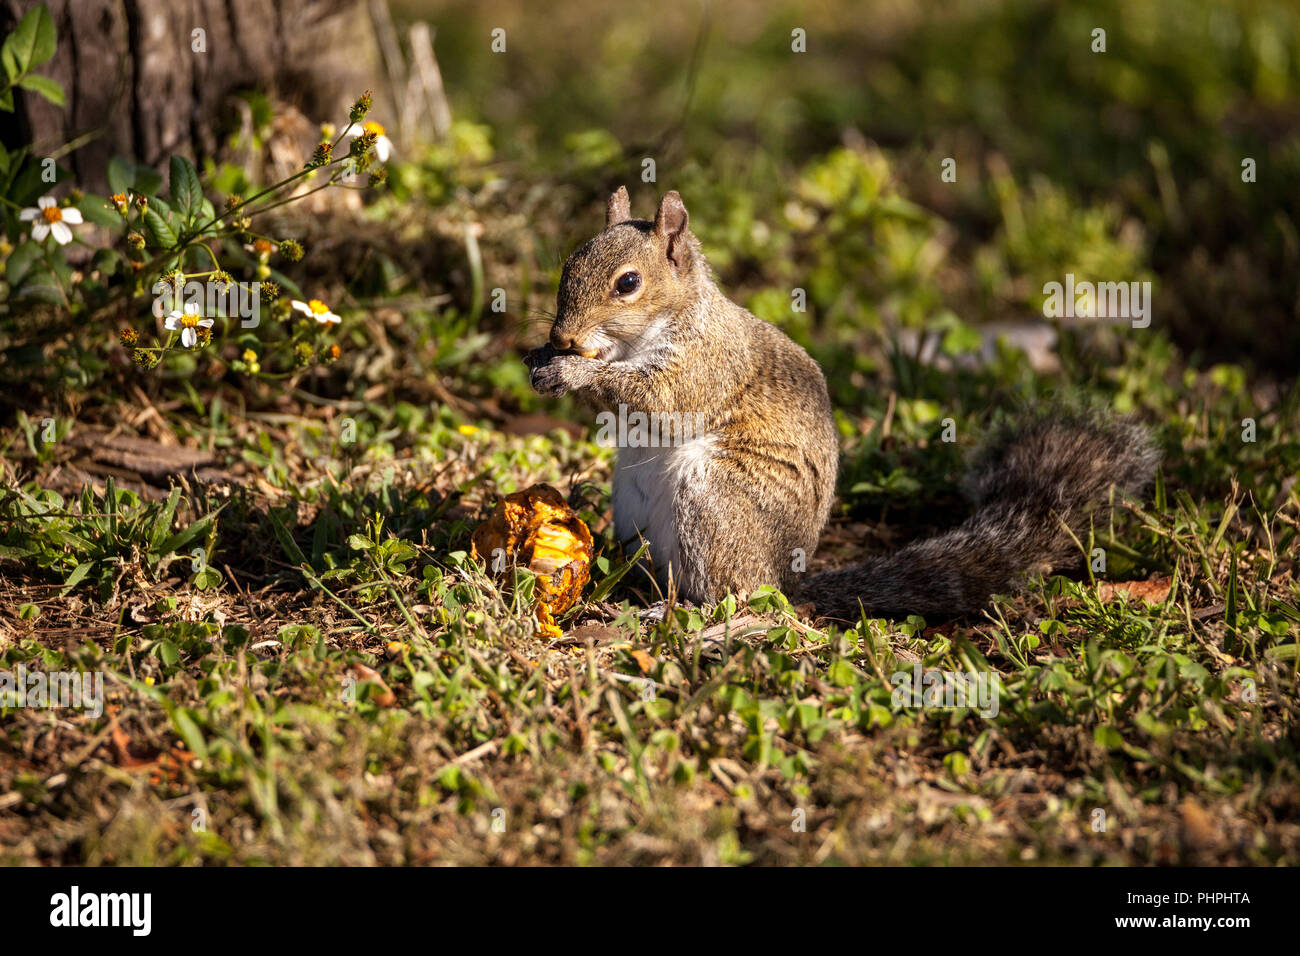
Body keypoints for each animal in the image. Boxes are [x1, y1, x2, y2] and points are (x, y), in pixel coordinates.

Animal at [525, 187, 1159, 620]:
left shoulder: (707, 363)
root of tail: (785, 576)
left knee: (730, 593)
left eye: (628, 283)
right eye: (569, 264)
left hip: (716, 501)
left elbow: (657, 399)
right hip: (634, 502)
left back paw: (677, 611)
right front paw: (540, 358)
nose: (561, 336)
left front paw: (573, 370)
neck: (660, 326)